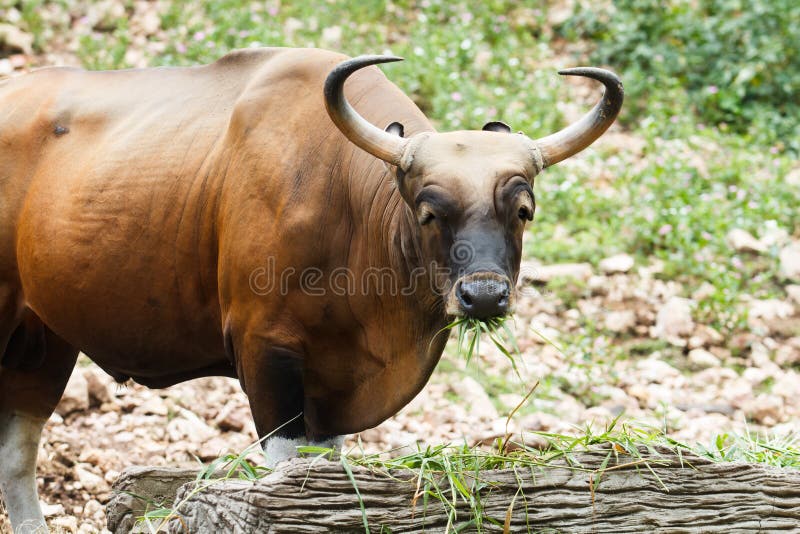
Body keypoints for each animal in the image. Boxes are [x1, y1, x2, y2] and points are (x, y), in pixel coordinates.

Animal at [0, 47, 622, 532]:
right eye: (428, 212)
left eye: (523, 209)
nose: (485, 297)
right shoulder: (265, 354)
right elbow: (283, 471)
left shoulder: (334, 389)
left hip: (45, 337)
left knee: (17, 452)